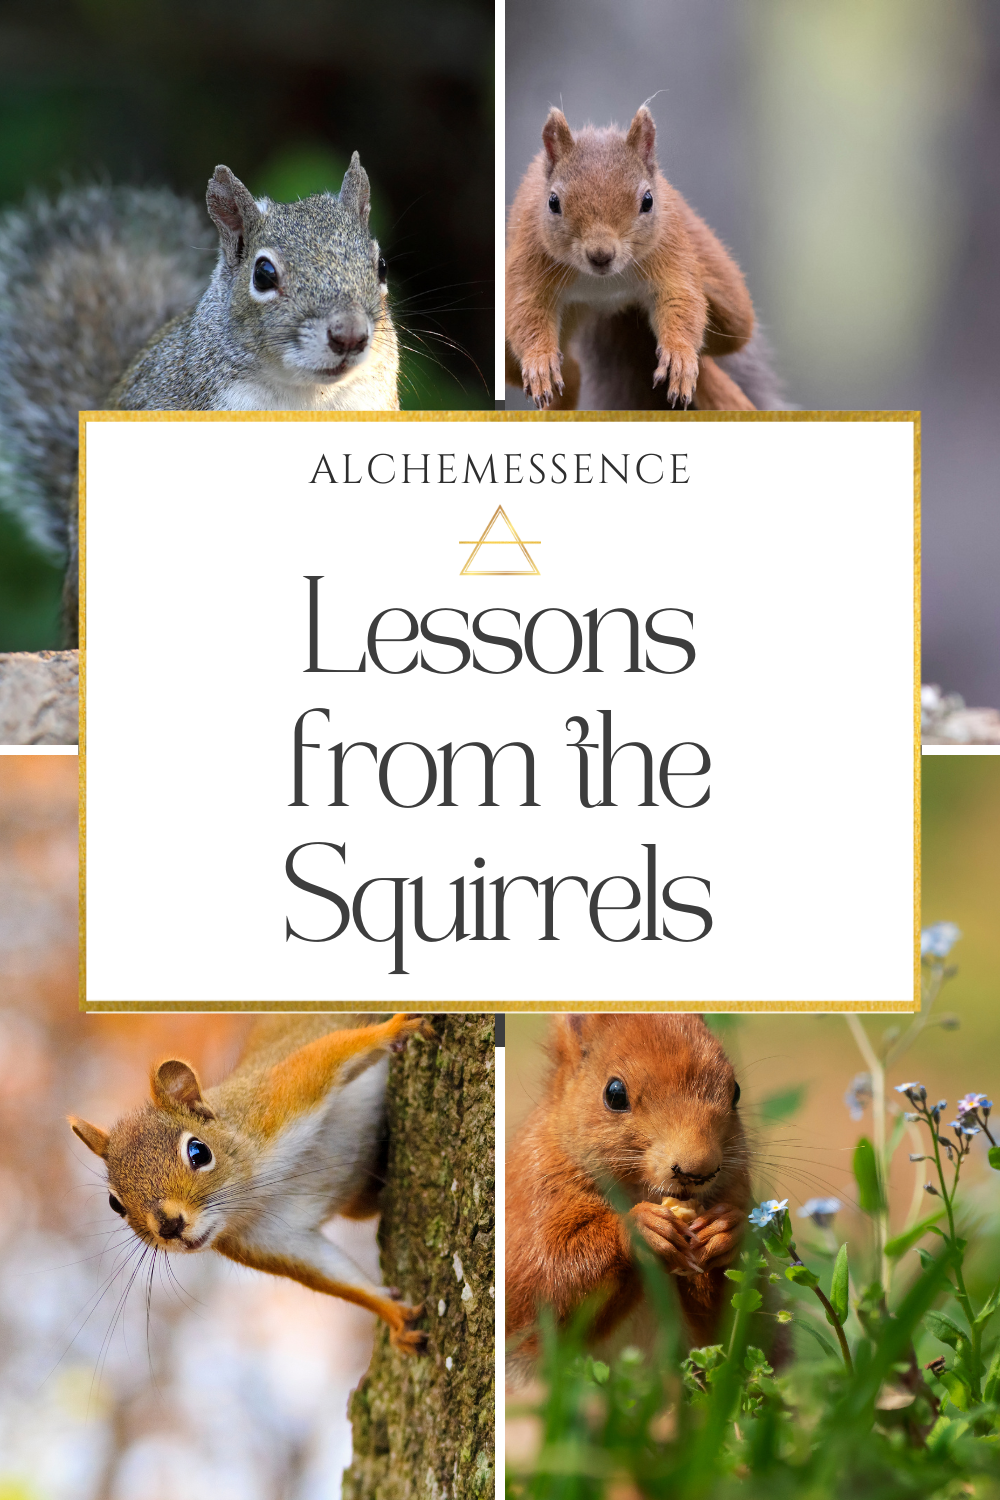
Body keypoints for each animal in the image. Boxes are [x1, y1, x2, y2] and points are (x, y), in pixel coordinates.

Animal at [68, 1012, 434, 1355]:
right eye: (115, 1204)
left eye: (198, 1152)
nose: (169, 1226)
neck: (256, 1188)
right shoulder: (269, 1240)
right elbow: (332, 1274)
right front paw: (394, 1315)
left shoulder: (278, 1101)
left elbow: (332, 1054)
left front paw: (396, 1028)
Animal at [505, 106, 781, 413]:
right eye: (553, 202)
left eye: (648, 201)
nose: (601, 255)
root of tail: (607, 307)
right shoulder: (531, 255)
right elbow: (528, 309)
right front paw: (539, 361)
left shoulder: (667, 250)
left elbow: (681, 296)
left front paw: (680, 355)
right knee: (561, 369)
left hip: (728, 301)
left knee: (724, 336)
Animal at [505, 1014, 750, 1382]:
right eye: (615, 1094)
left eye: (735, 1091)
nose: (697, 1172)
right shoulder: (532, 1194)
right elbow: (539, 1288)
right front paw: (638, 1229)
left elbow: (727, 1332)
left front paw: (727, 1229)